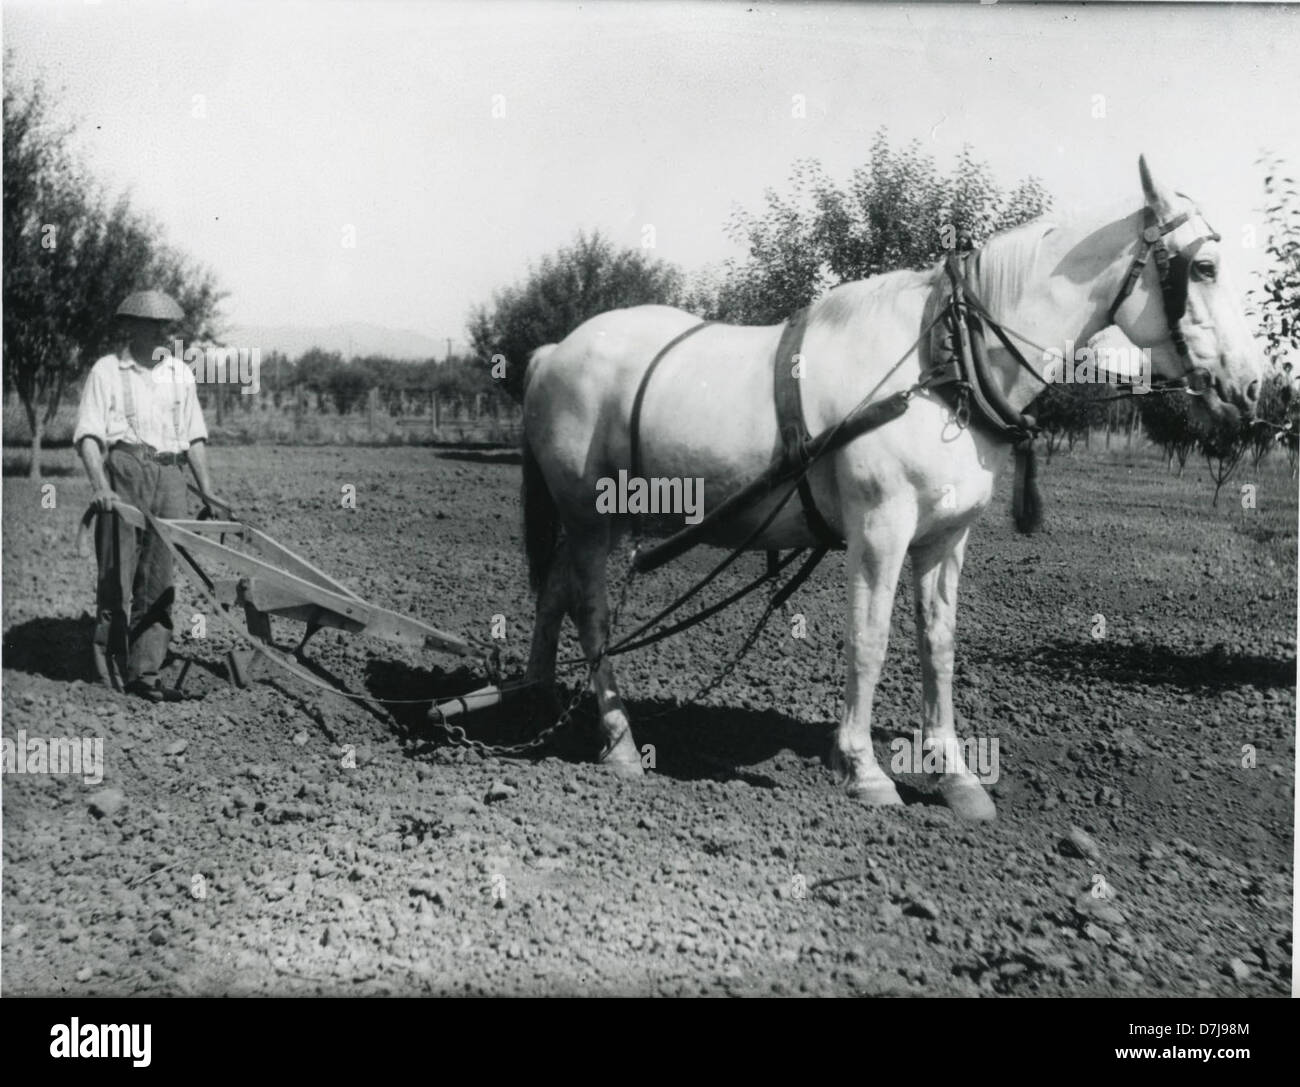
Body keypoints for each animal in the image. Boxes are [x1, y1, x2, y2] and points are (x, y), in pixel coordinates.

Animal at [518, 156, 1263, 820]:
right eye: (1203, 268)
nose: (1255, 385)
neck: (941, 366)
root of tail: (554, 352)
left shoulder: (944, 536)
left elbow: (938, 647)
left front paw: (956, 775)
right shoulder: (881, 528)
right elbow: (869, 639)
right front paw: (865, 769)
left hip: (605, 519)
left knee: (555, 593)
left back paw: (539, 700)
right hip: (589, 517)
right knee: (591, 611)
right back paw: (619, 742)